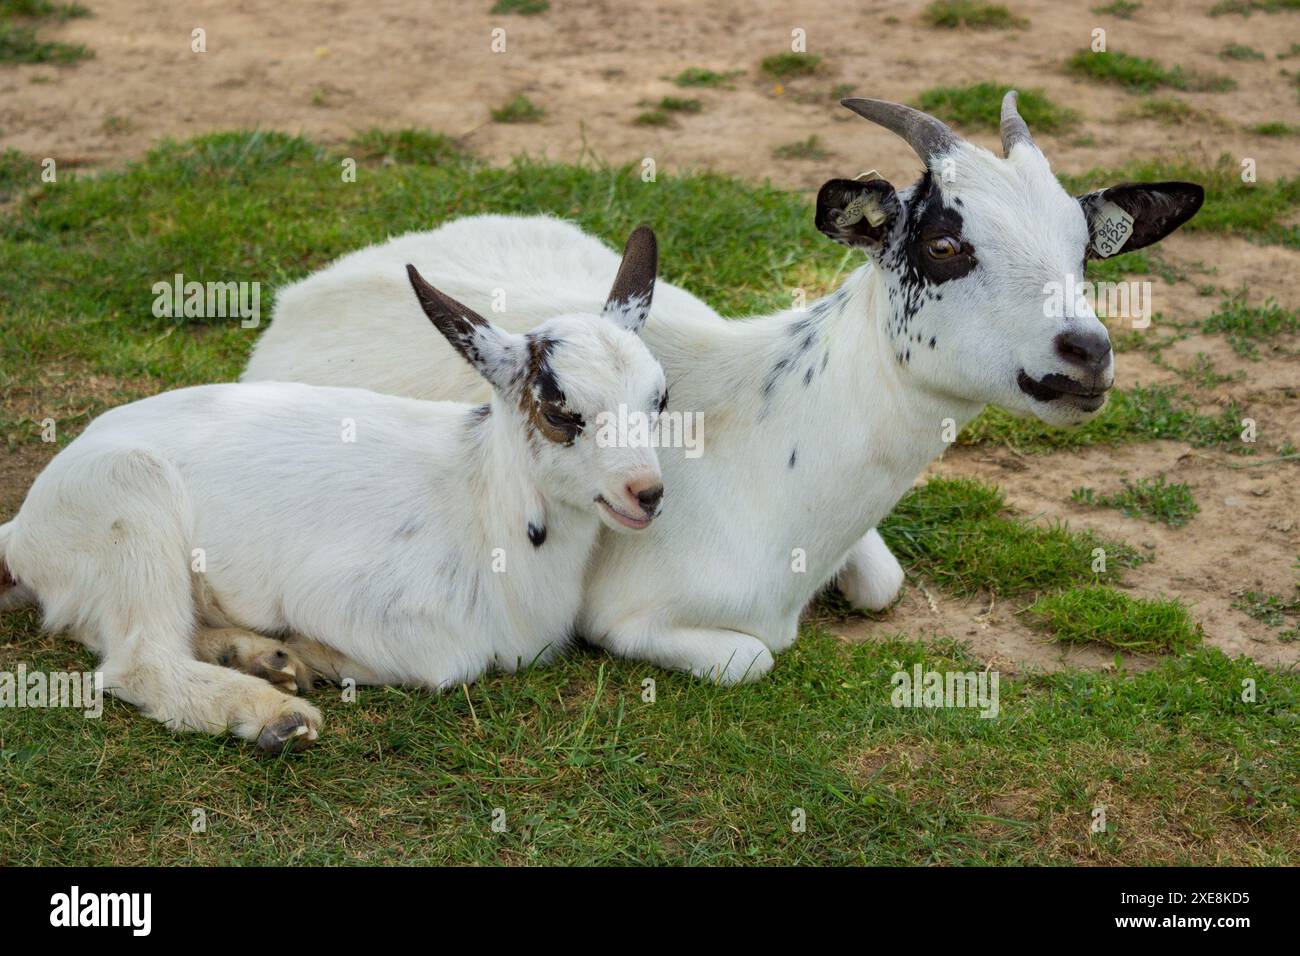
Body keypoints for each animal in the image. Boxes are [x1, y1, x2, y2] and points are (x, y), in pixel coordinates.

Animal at [0, 228, 666, 749]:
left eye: (660, 398)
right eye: (559, 411)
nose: (648, 492)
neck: (480, 502)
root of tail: (23, 531)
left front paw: (290, 654)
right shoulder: (348, 599)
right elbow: (446, 664)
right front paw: (313, 654)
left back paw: (259, 658)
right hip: (130, 502)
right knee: (137, 661)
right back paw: (276, 715)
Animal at [242, 92, 1203, 685]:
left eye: (1085, 252)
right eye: (943, 245)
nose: (1087, 354)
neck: (776, 456)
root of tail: (313, 287)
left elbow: (883, 581)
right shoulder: (630, 619)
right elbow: (752, 657)